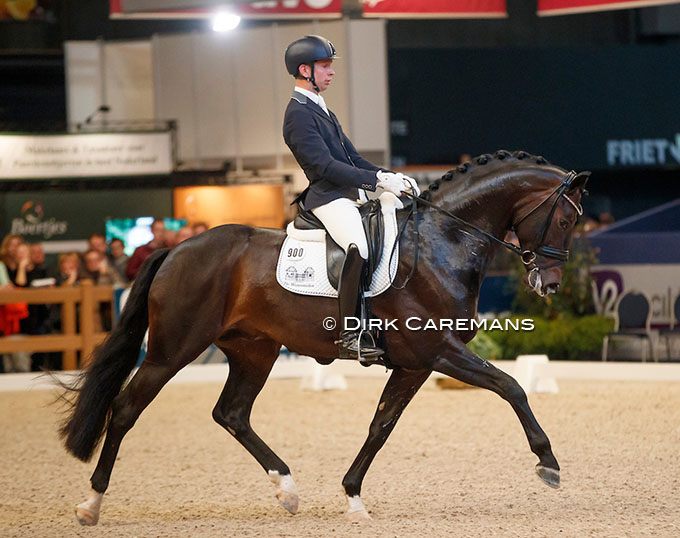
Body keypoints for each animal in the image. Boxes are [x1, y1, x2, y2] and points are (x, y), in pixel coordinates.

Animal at [60, 150, 589, 525]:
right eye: (565, 219)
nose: (549, 284)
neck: (443, 243)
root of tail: (175, 249)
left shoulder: (415, 363)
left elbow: (381, 425)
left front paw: (353, 496)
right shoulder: (438, 351)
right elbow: (512, 386)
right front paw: (548, 462)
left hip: (254, 350)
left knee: (231, 413)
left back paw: (287, 489)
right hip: (172, 350)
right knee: (126, 409)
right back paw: (90, 504)